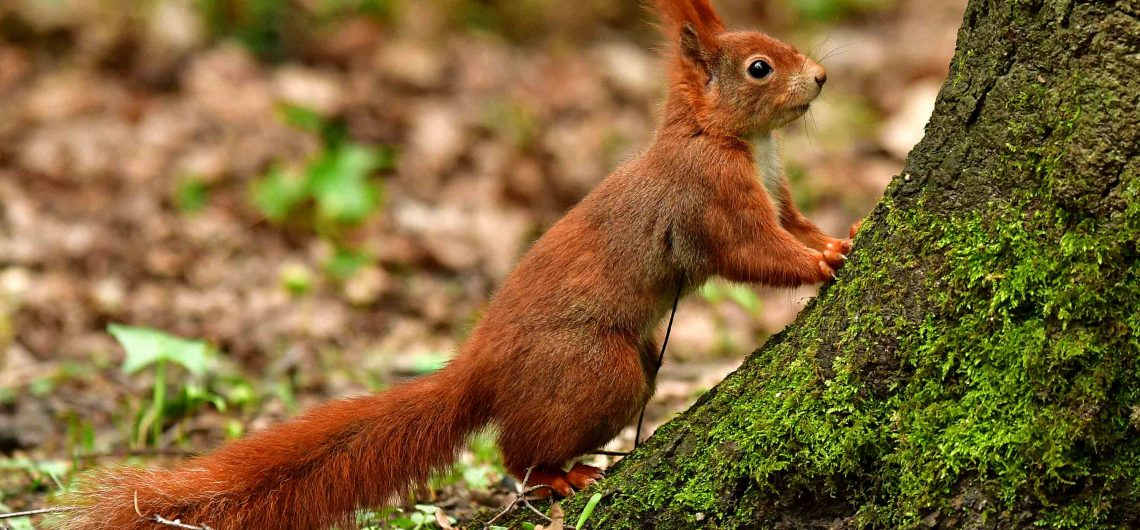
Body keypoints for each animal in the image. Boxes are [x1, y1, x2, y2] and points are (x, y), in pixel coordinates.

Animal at [53, 1, 857, 529]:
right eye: (760, 67)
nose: (822, 76)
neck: (726, 138)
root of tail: (481, 366)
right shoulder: (709, 198)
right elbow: (754, 252)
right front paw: (826, 263)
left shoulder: (774, 189)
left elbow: (793, 224)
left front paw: (836, 236)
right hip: (596, 370)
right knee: (518, 449)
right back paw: (558, 475)